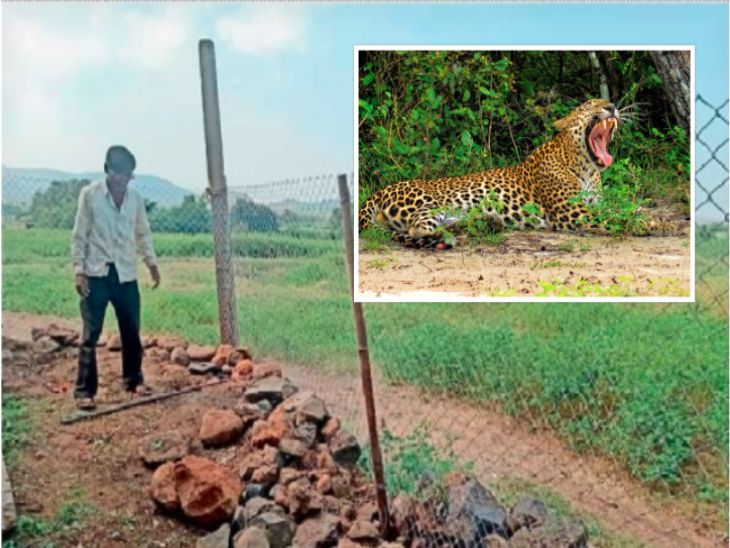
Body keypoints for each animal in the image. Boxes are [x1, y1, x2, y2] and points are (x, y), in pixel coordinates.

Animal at [359, 98, 621, 248]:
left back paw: (484, 223)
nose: (612, 107)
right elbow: (618, 218)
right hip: (427, 202)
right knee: (417, 228)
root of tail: (378, 192)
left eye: (607, 102)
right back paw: (452, 235)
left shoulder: (597, 204)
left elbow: (620, 210)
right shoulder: (574, 213)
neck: (586, 167)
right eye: (590, 105)